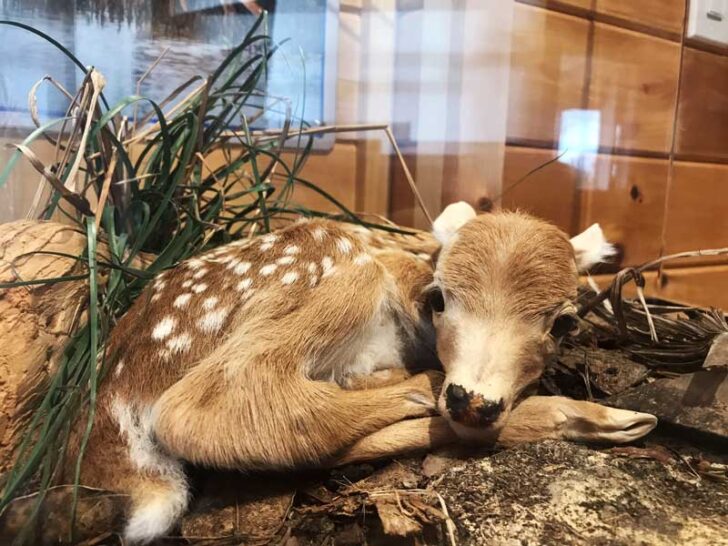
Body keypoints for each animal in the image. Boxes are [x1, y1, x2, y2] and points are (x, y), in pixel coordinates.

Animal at [63, 202, 657, 544]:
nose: (473, 399)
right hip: (333, 271)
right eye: (439, 299)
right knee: (215, 407)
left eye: (564, 323)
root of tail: (114, 391)